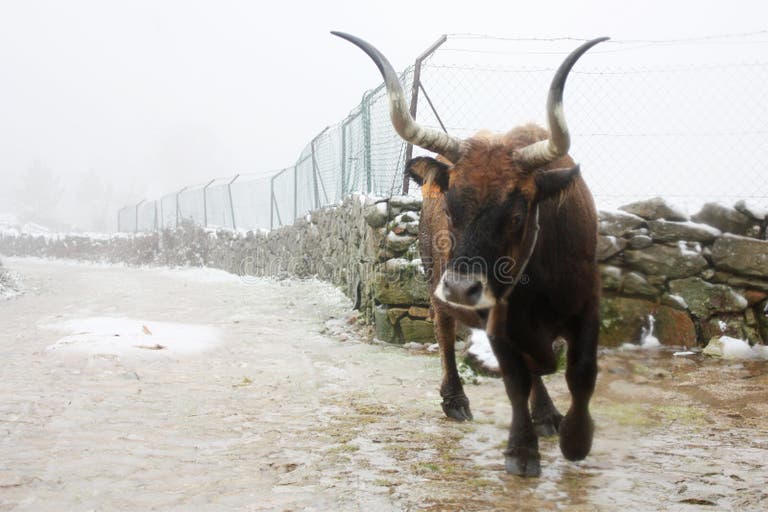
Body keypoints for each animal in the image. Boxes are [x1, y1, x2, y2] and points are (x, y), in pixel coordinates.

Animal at [332, 31, 606, 477]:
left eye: (517, 214)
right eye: (451, 207)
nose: (462, 289)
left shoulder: (588, 303)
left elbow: (581, 372)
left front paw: (574, 437)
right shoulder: (496, 318)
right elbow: (516, 380)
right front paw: (522, 450)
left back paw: (547, 414)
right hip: (434, 281)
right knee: (443, 331)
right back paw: (456, 400)